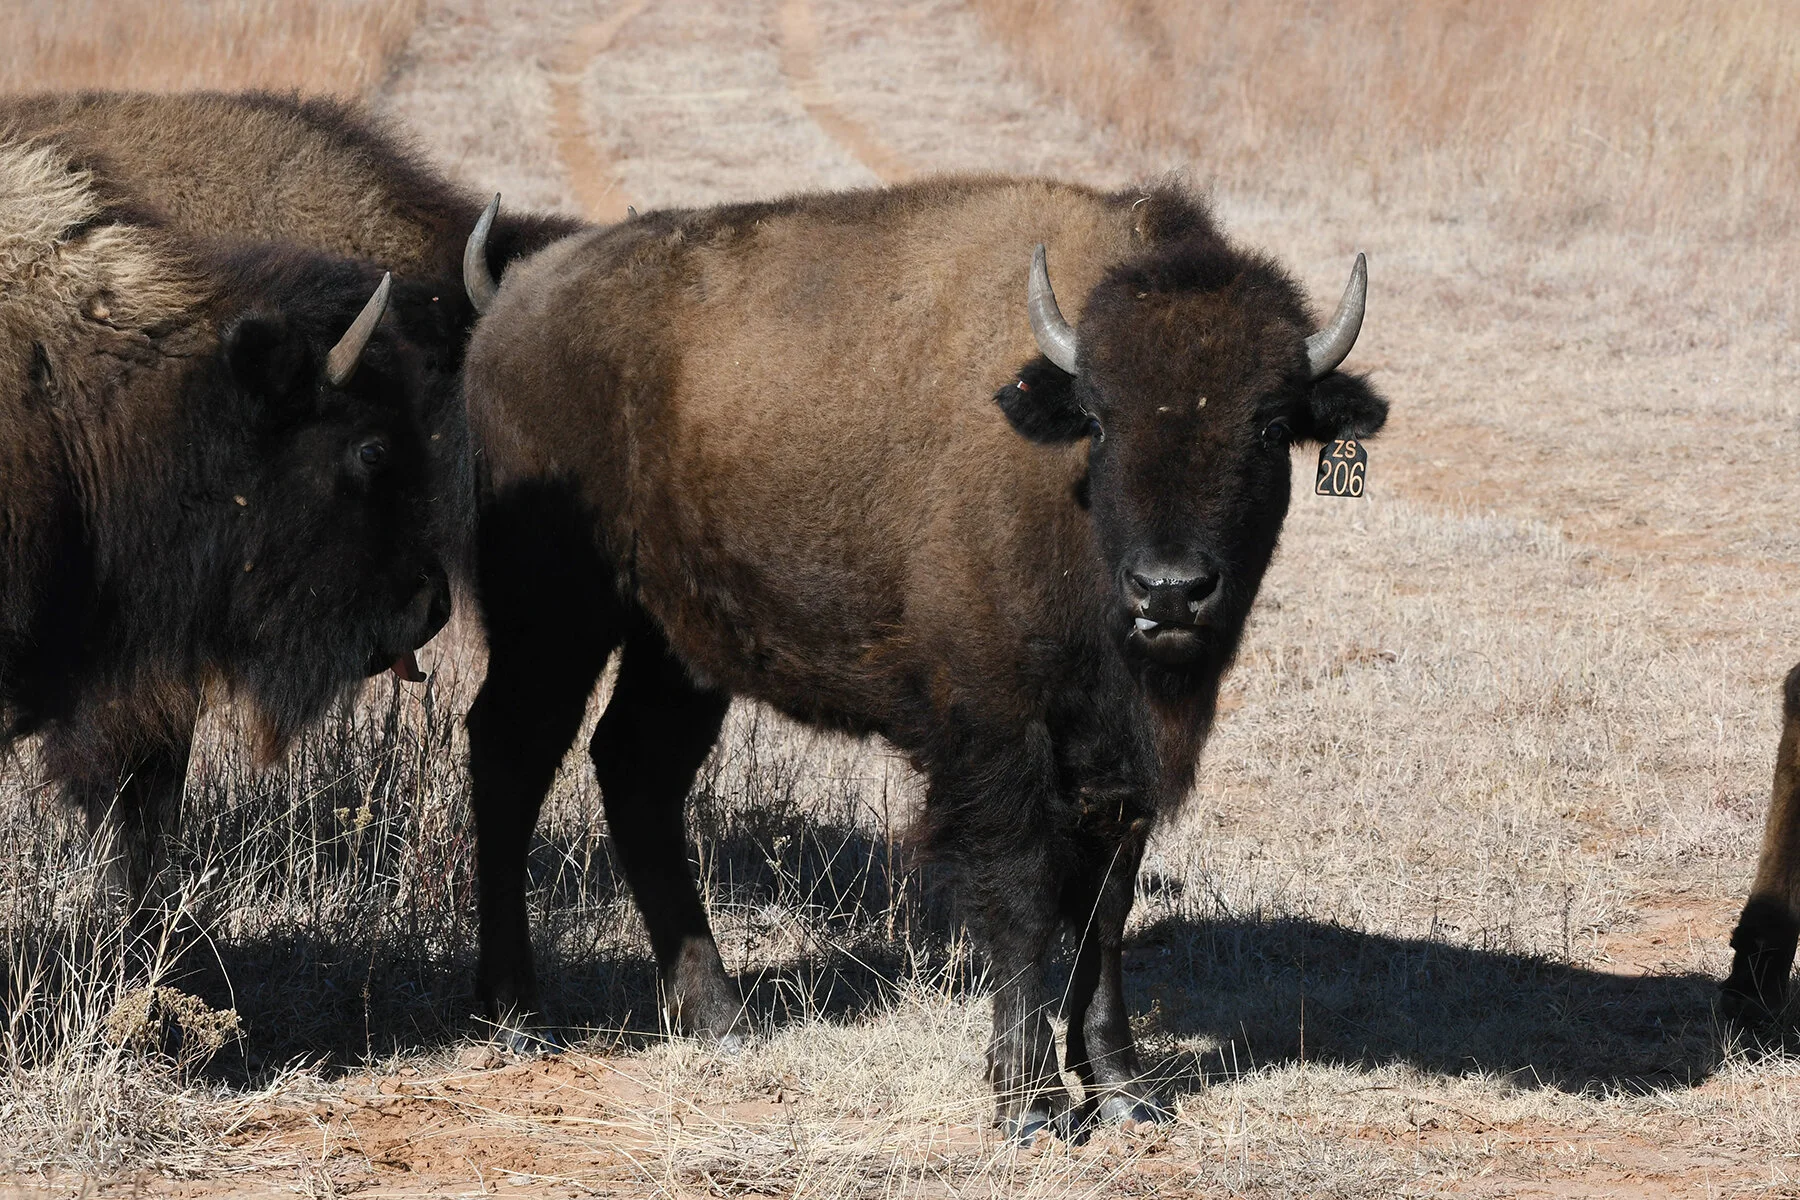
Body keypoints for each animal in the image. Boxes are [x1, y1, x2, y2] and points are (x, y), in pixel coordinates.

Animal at [459, 176, 1387, 1135]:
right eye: (1099, 419)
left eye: (1271, 427)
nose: (1169, 592)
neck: (1064, 490)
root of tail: (517, 299)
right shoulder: (996, 733)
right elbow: (1024, 895)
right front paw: (1029, 1102)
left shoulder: (1114, 756)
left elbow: (1105, 904)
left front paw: (1126, 1092)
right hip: (553, 615)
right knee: (511, 755)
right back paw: (518, 1017)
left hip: (676, 646)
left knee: (636, 769)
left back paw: (719, 1018)